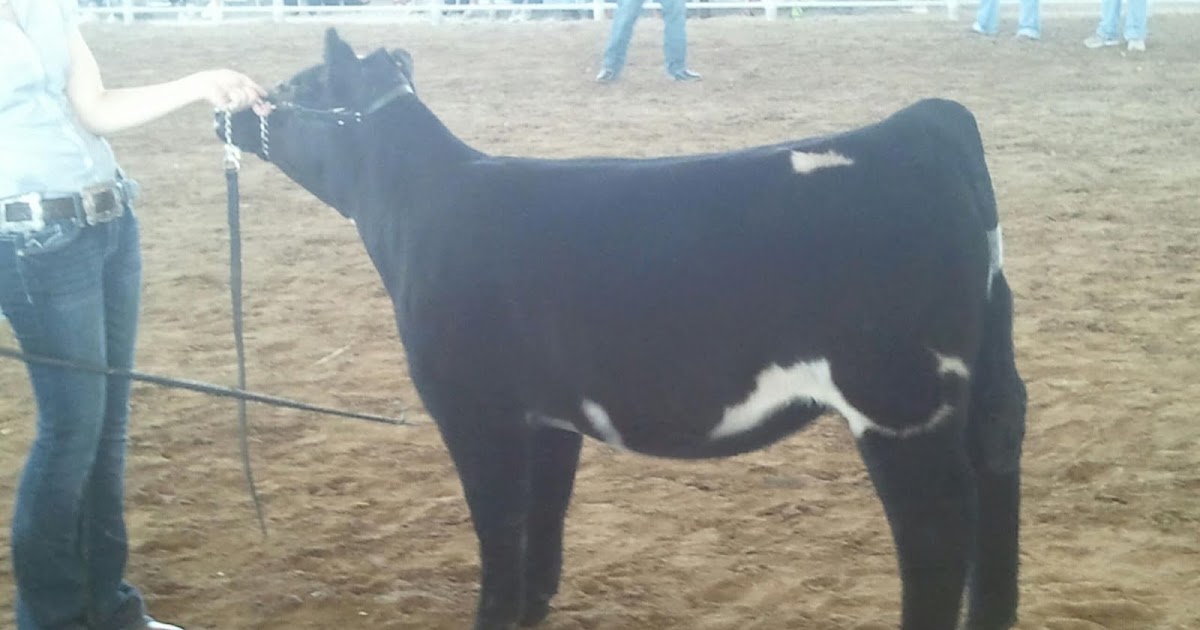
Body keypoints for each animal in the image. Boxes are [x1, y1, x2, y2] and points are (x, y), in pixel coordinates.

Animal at [219, 29, 1027, 630]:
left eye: (292, 89)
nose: (226, 113)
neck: (420, 204)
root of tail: (924, 122)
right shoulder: (548, 416)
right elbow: (541, 535)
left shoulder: (475, 410)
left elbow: (500, 532)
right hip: (985, 383)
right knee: (997, 480)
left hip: (899, 400)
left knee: (938, 534)